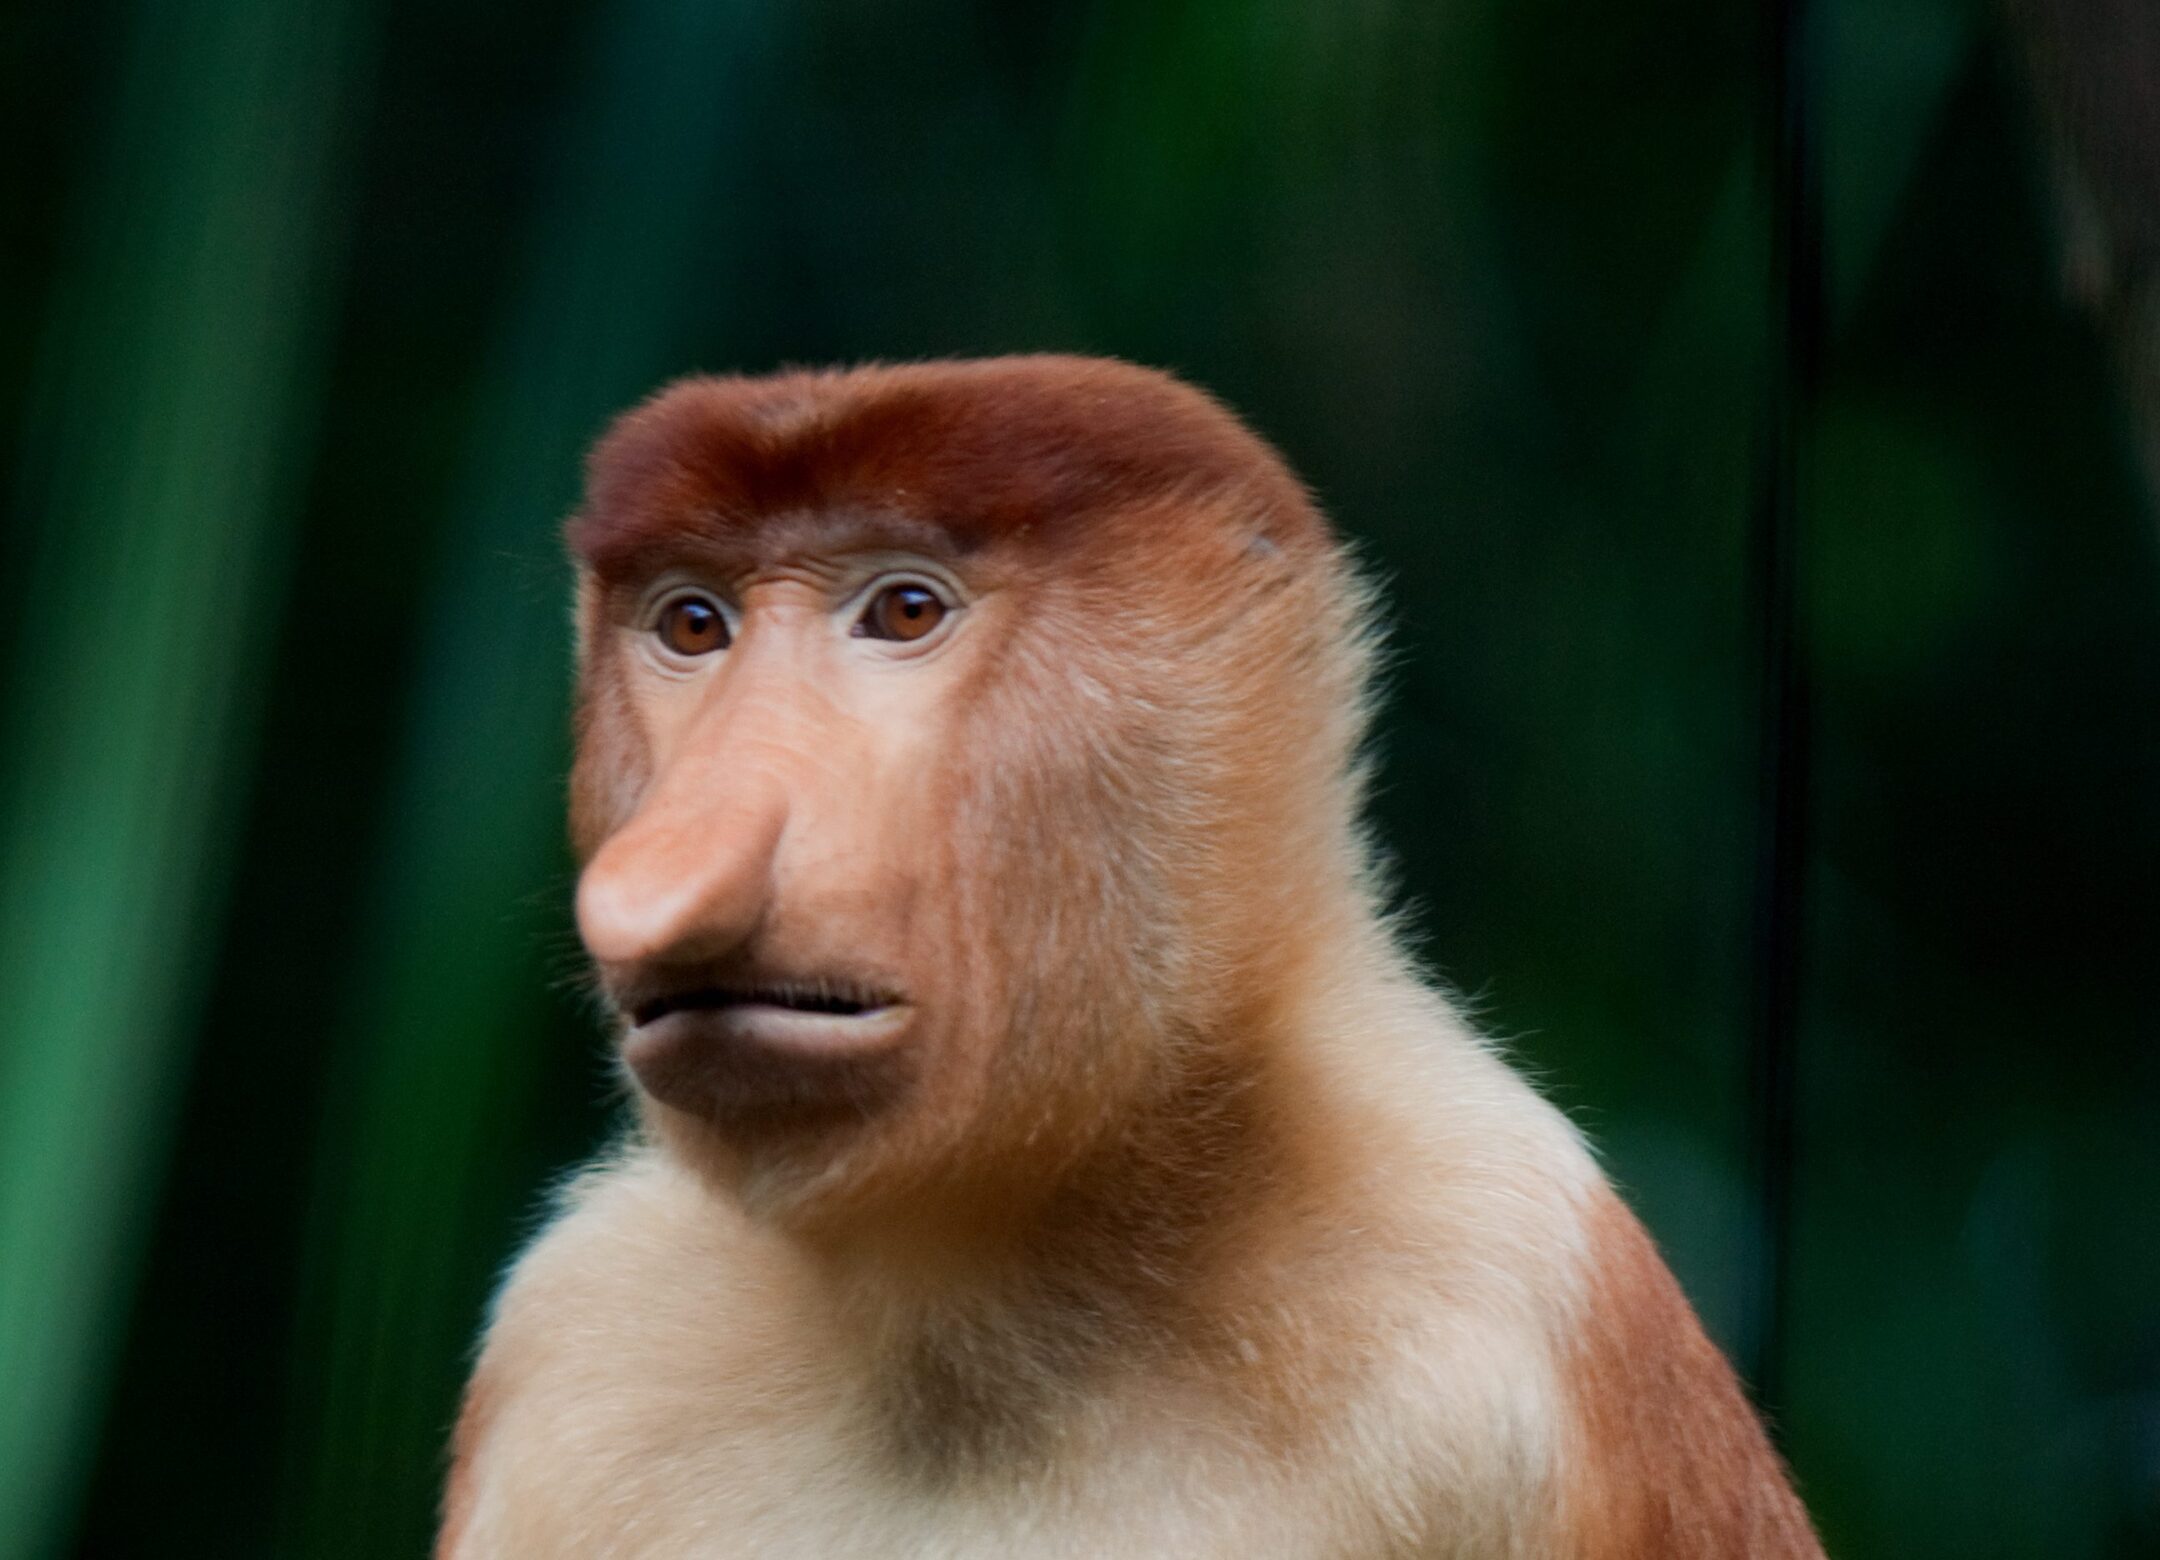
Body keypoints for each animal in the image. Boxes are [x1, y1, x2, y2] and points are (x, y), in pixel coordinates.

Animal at [437, 356, 1824, 1559]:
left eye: (904, 610)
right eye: (692, 623)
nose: (656, 873)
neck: (991, 1307)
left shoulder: (1504, 1282)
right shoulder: (572, 1336)